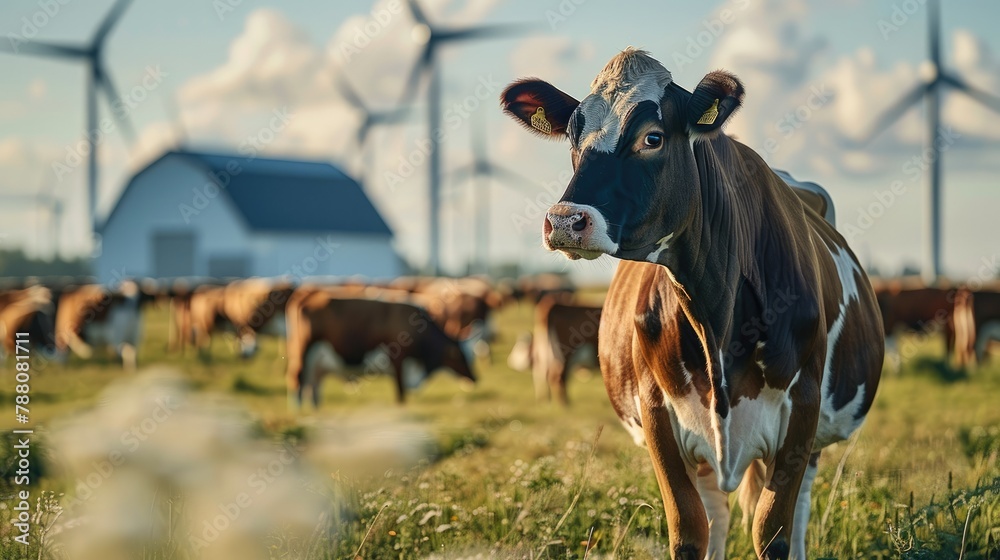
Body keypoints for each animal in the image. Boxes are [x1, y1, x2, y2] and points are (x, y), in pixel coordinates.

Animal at [284, 288, 478, 408]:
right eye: (460, 355)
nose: (475, 378)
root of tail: (309, 294)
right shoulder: (398, 359)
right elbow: (400, 390)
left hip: (317, 361)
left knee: (313, 385)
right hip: (304, 351)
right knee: (298, 379)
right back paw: (299, 411)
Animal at [500, 48, 884, 559]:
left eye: (653, 137)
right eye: (573, 136)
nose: (565, 221)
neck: (716, 317)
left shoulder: (802, 414)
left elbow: (774, 532)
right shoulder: (659, 416)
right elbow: (689, 530)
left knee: (799, 507)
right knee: (716, 514)